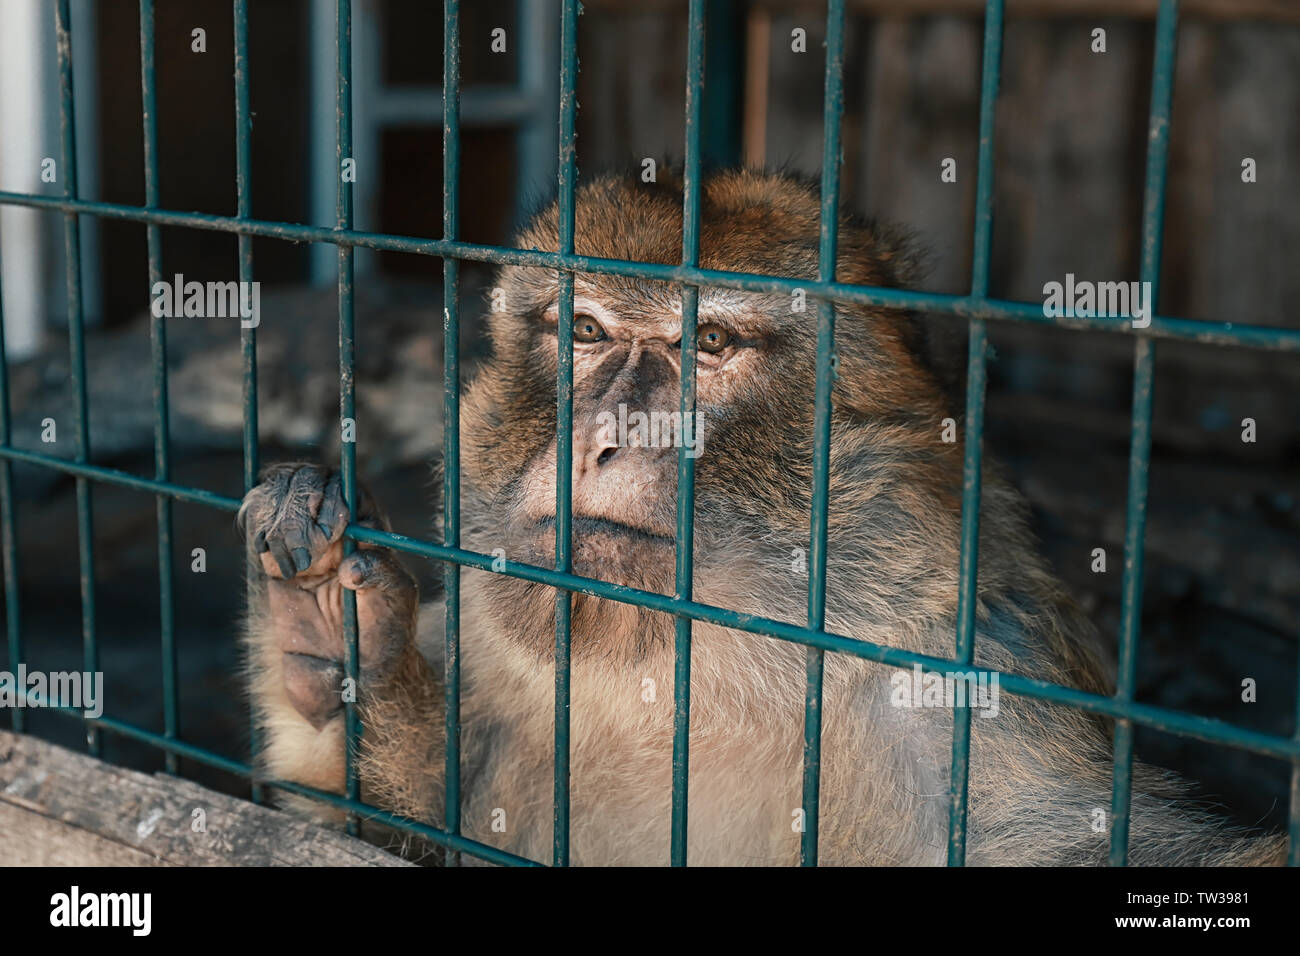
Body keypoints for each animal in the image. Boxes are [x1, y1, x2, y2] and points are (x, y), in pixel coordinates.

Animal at [238, 168, 1287, 866]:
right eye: (585, 332)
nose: (601, 437)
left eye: (708, 342)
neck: (694, 681)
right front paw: (340, 652)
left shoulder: (970, 708)